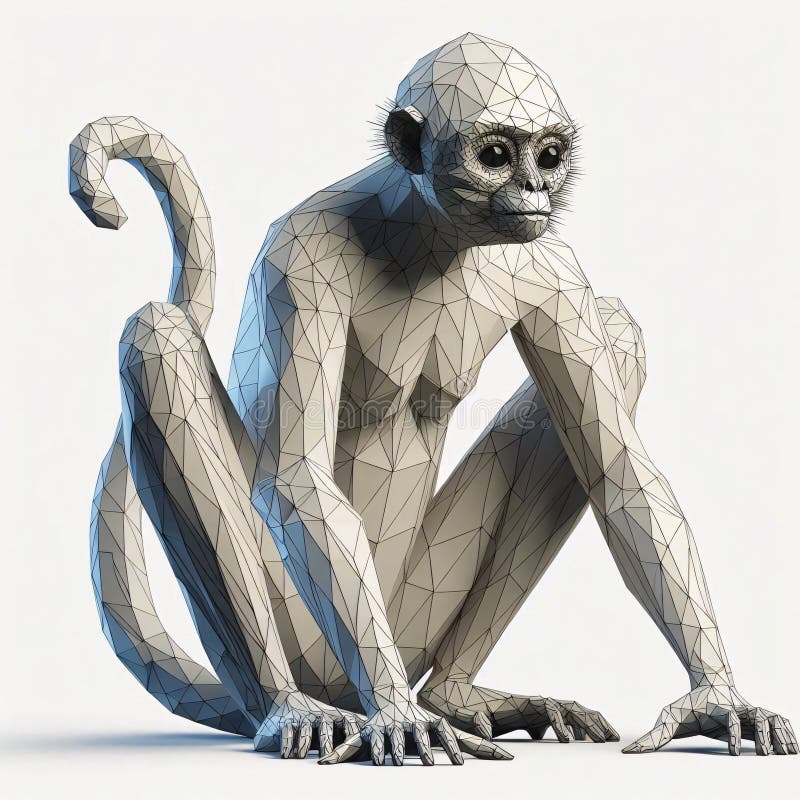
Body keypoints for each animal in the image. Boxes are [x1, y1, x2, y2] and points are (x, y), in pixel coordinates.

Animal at [72, 33, 796, 765]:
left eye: (549, 156)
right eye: (496, 155)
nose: (535, 188)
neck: (425, 234)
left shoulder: (555, 269)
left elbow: (617, 474)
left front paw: (718, 698)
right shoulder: (301, 256)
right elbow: (297, 475)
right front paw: (396, 712)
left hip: (413, 612)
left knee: (616, 335)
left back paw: (452, 695)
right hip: (310, 627)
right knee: (158, 335)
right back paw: (288, 708)